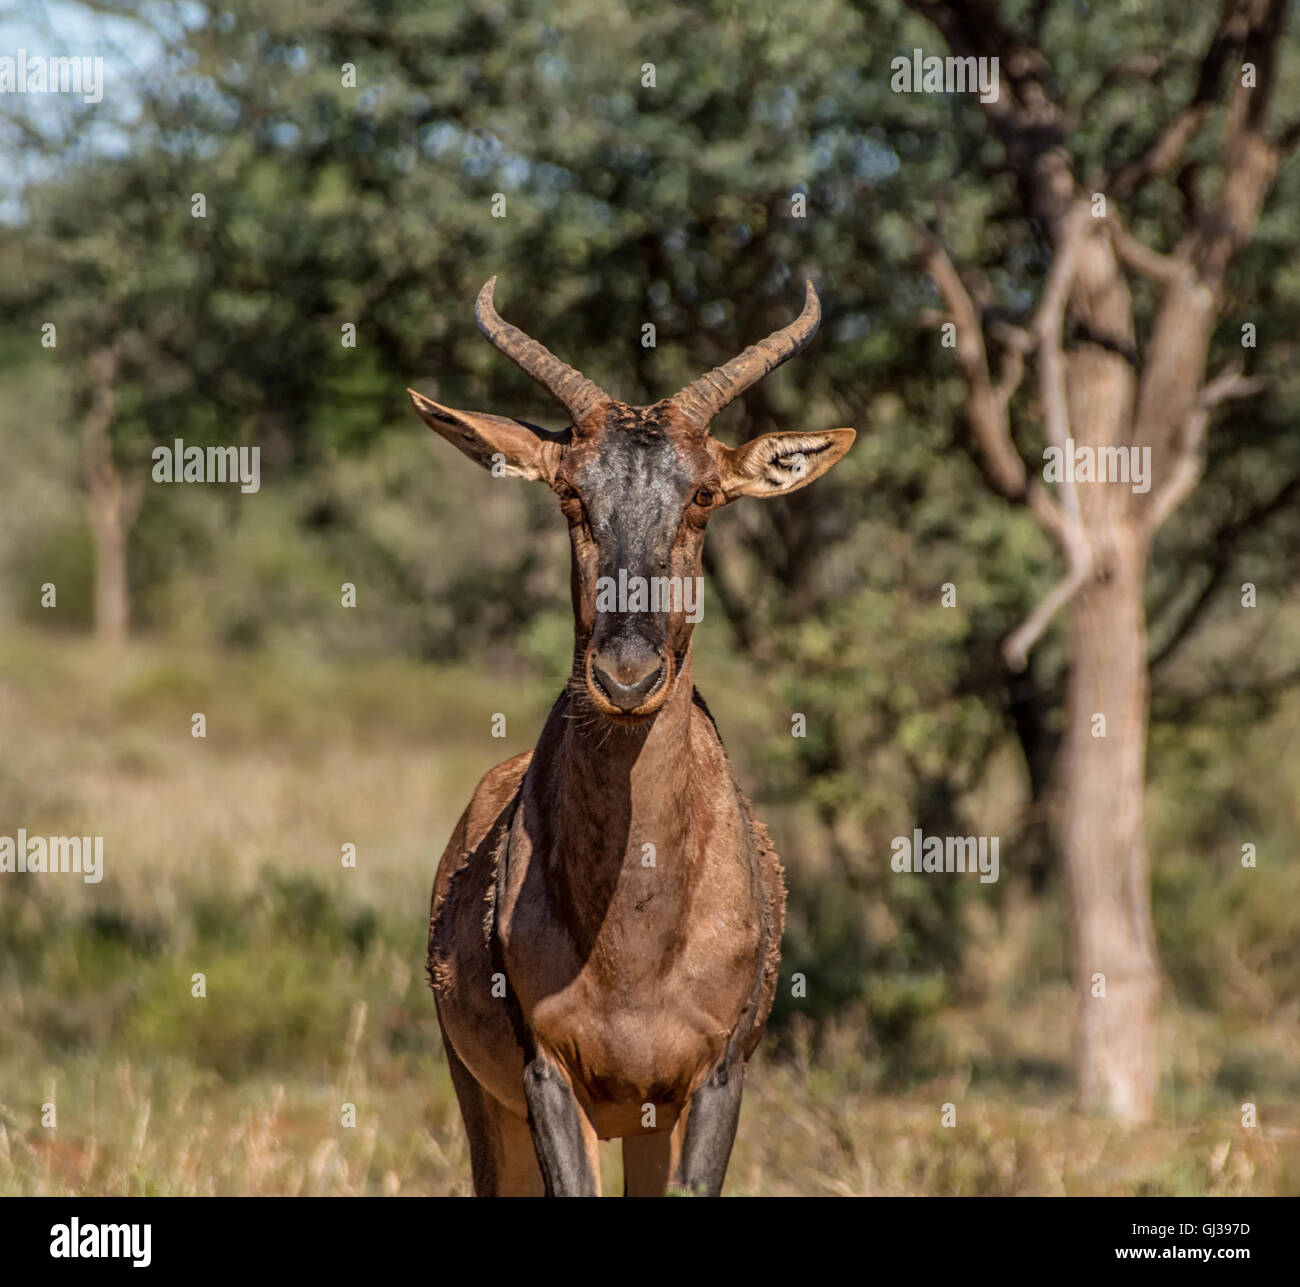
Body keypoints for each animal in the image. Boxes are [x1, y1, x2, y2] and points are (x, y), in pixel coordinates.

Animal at [410, 278, 854, 1196]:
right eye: (571, 493)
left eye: (704, 494)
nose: (625, 677)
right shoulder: (546, 1077)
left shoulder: (714, 1079)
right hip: (483, 1099)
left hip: (645, 1118)